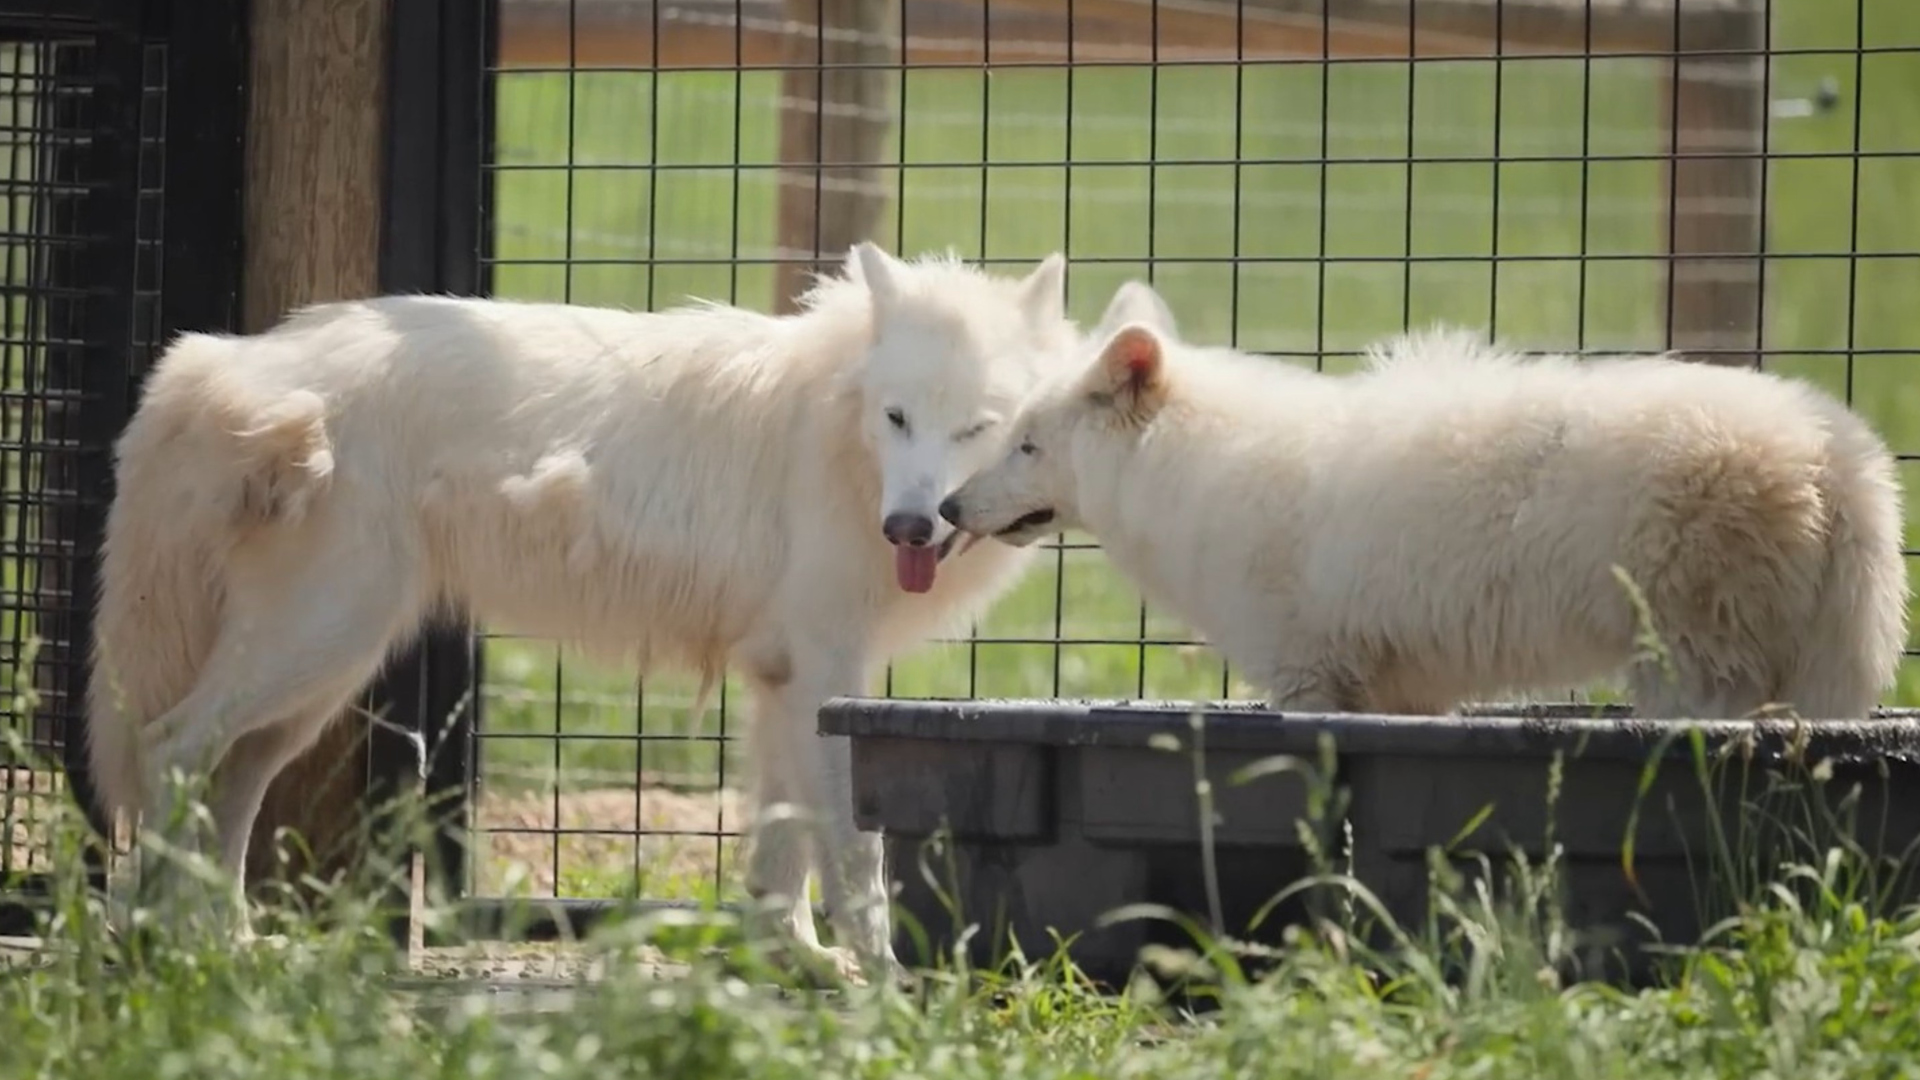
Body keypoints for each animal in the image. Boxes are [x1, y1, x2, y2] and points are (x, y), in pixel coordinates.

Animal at [87, 242, 1078, 980]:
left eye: (976, 427)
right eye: (898, 417)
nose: (910, 524)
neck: (836, 437)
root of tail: (212, 358)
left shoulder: (784, 684)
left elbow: (780, 851)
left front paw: (790, 961)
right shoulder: (822, 679)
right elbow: (854, 859)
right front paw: (882, 980)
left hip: (311, 690)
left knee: (227, 783)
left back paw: (227, 939)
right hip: (315, 652)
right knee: (168, 747)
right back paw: (163, 943)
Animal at [942, 282, 1908, 721]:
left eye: (1026, 444)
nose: (948, 511)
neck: (1191, 467)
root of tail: (1835, 448)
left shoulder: (1308, 677)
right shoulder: (1403, 698)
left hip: (1692, 671)